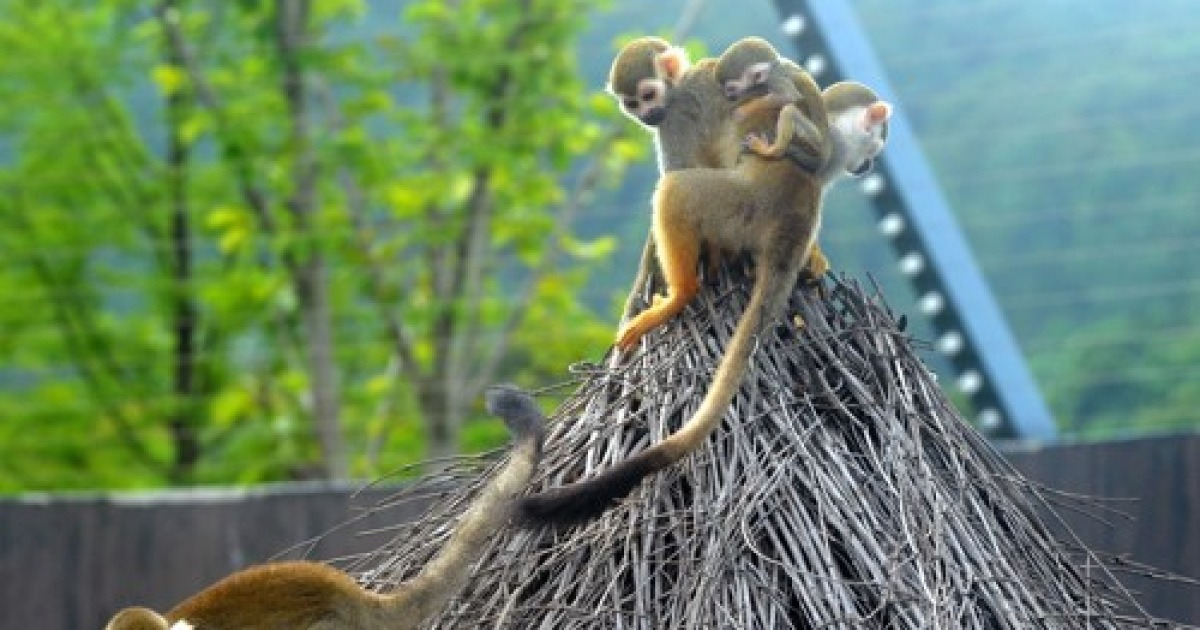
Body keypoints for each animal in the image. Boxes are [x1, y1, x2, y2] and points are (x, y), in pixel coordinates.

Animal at [514, 59, 892, 526]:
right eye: (878, 138)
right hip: (743, 204)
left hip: (741, 206)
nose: (870, 163)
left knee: (678, 186)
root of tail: (789, 214)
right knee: (681, 184)